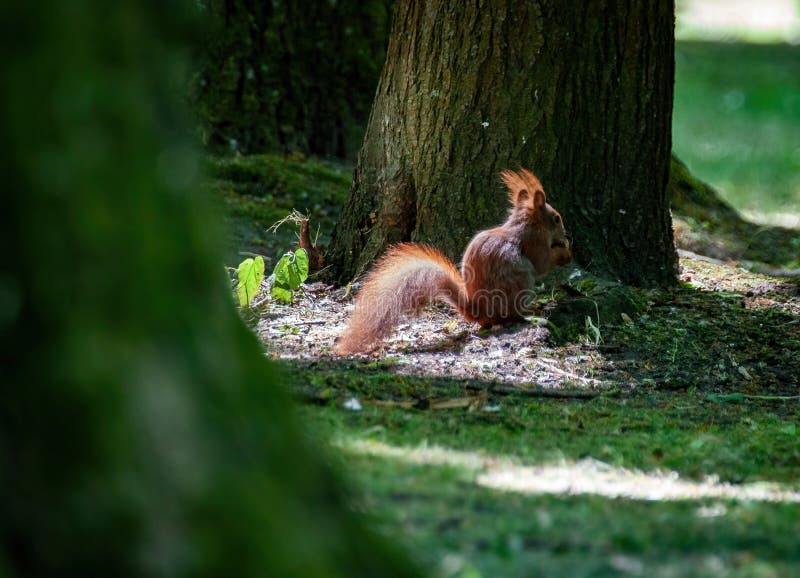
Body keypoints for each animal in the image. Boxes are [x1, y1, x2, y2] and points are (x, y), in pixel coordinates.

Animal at [333, 169, 572, 354]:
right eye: (557, 218)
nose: (565, 233)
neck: (525, 224)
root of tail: (477, 312)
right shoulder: (534, 243)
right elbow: (542, 265)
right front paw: (561, 254)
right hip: (520, 285)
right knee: (510, 316)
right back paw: (532, 311)